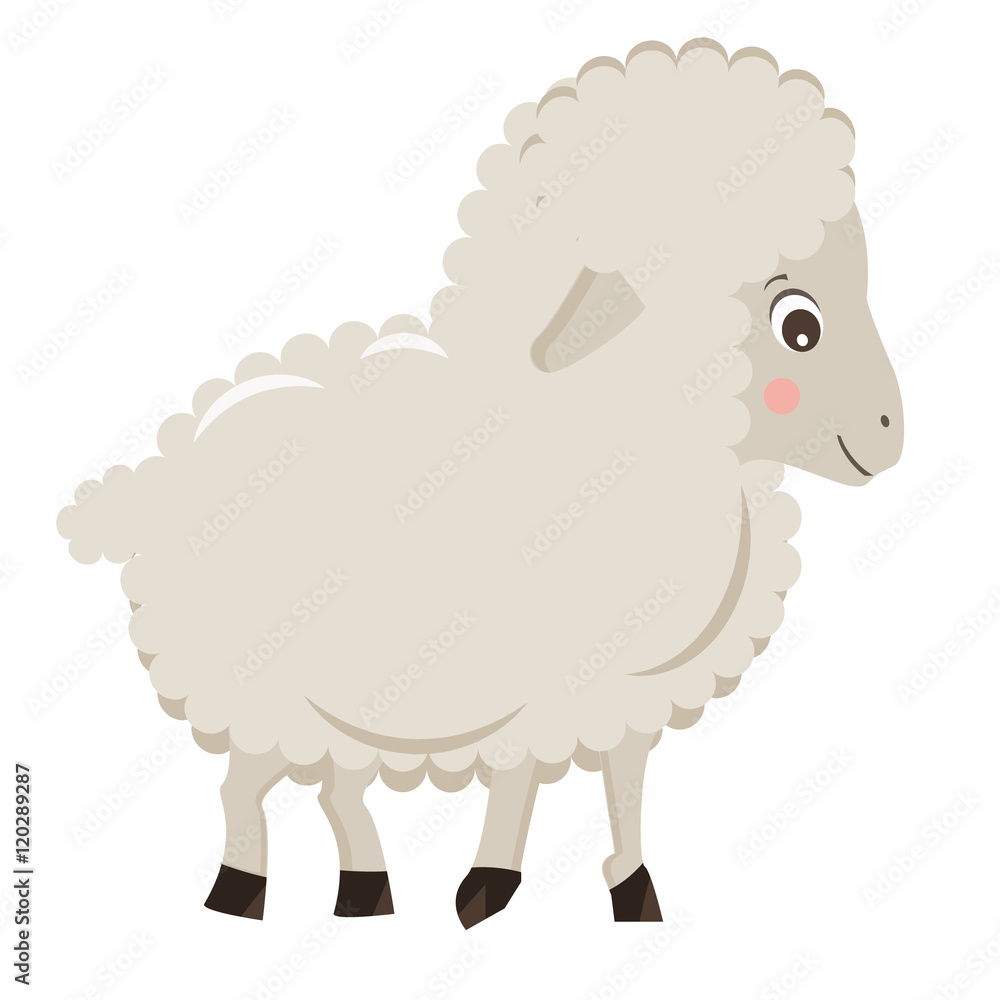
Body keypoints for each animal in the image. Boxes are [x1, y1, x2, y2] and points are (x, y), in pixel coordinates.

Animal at [57, 38, 903, 927]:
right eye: (799, 325)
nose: (891, 431)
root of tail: (160, 476)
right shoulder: (544, 687)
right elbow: (522, 782)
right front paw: (489, 886)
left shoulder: (622, 694)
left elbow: (624, 786)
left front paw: (633, 891)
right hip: (257, 690)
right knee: (243, 789)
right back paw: (241, 891)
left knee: (331, 793)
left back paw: (365, 891)